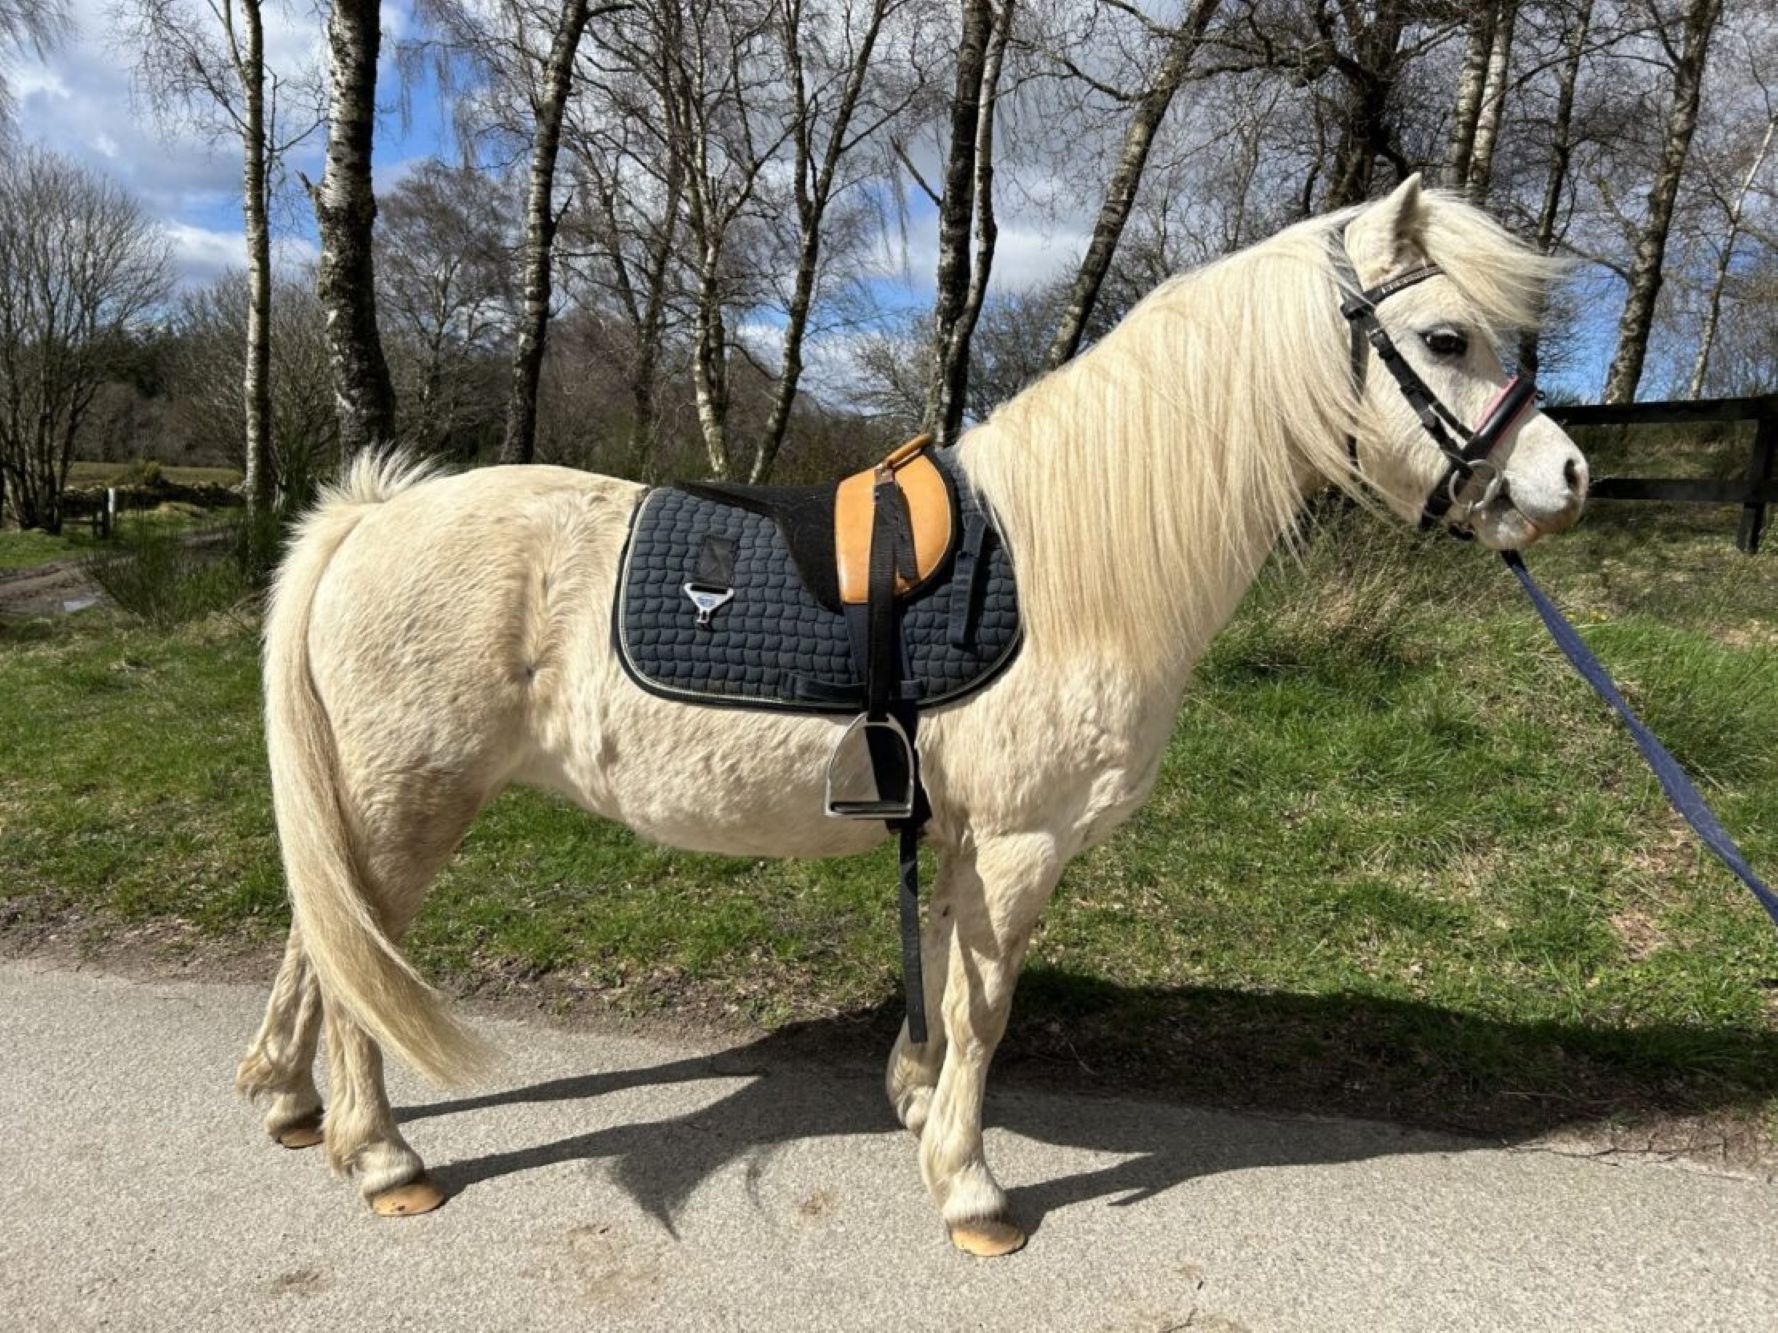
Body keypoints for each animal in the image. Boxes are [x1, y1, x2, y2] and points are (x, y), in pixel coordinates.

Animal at [236, 175, 1588, 1257]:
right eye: (1444, 335)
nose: (1563, 480)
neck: (1063, 567)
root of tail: (370, 513)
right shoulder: (1023, 842)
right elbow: (986, 1009)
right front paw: (971, 1190)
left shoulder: (962, 839)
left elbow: (941, 979)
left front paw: (914, 1101)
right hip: (413, 799)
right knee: (356, 959)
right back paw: (383, 1157)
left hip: (377, 803)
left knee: (324, 938)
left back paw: (295, 1105)